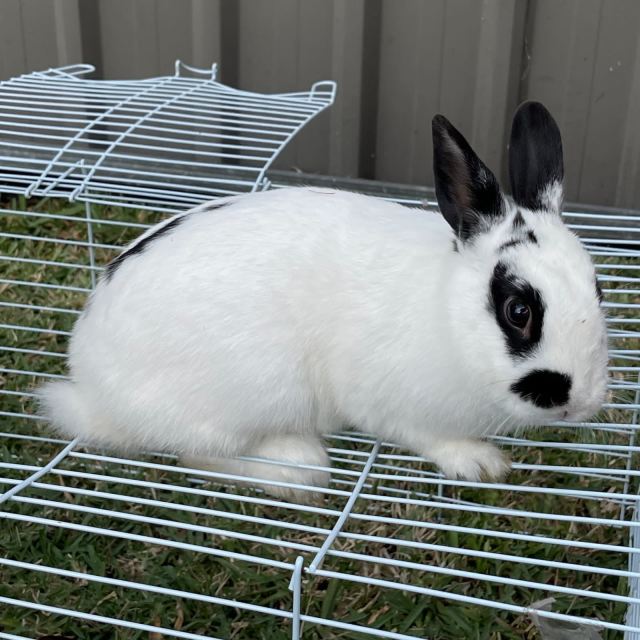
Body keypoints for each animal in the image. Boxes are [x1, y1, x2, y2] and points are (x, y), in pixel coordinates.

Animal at [38, 101, 609, 503]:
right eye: (519, 311)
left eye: (598, 289)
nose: (578, 402)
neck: (448, 314)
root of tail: (93, 390)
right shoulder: (388, 401)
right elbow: (427, 436)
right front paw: (481, 462)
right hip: (261, 390)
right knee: (201, 455)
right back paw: (298, 466)